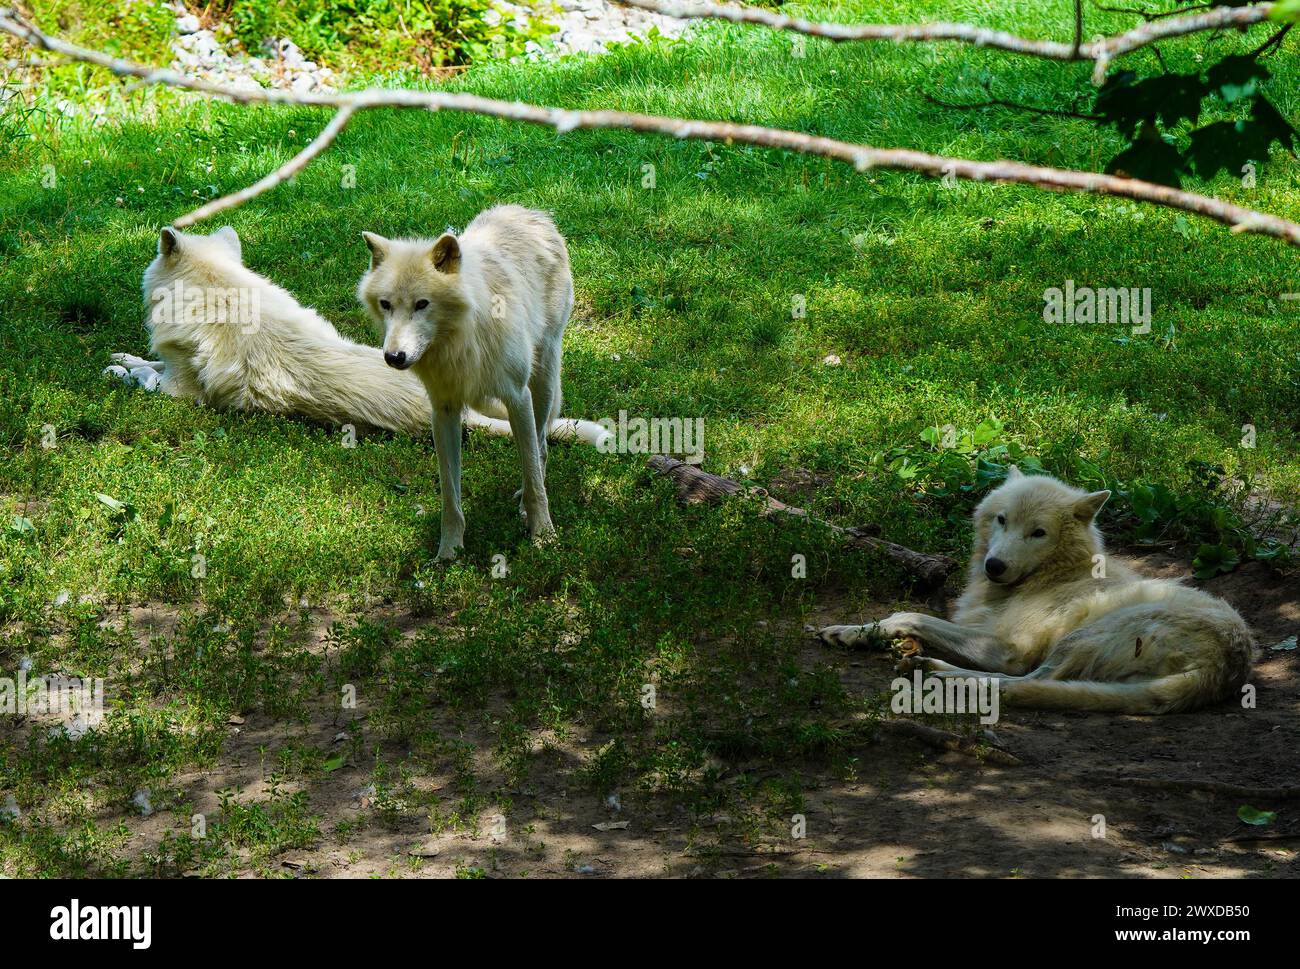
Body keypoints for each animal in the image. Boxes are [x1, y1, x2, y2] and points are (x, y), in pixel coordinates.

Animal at [109, 225, 609, 446]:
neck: (217, 289)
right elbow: (145, 361)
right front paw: (123, 358)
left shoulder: (179, 390)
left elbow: (146, 379)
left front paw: (118, 372)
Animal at [356, 205, 572, 561]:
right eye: (386, 304)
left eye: (422, 304)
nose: (394, 357)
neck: (459, 341)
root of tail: (530, 212)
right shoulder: (443, 411)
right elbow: (449, 493)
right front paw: (448, 552)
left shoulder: (517, 397)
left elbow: (531, 471)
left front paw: (543, 535)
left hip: (542, 382)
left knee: (541, 446)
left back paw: (527, 507)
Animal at [818, 468, 1254, 714]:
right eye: (1002, 519)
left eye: (1038, 532)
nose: (994, 566)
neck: (1050, 575)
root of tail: (1228, 666)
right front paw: (856, 633)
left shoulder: (1010, 648)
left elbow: (912, 615)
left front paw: (851, 631)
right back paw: (926, 667)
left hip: (1083, 634)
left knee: (1020, 681)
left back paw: (933, 672)